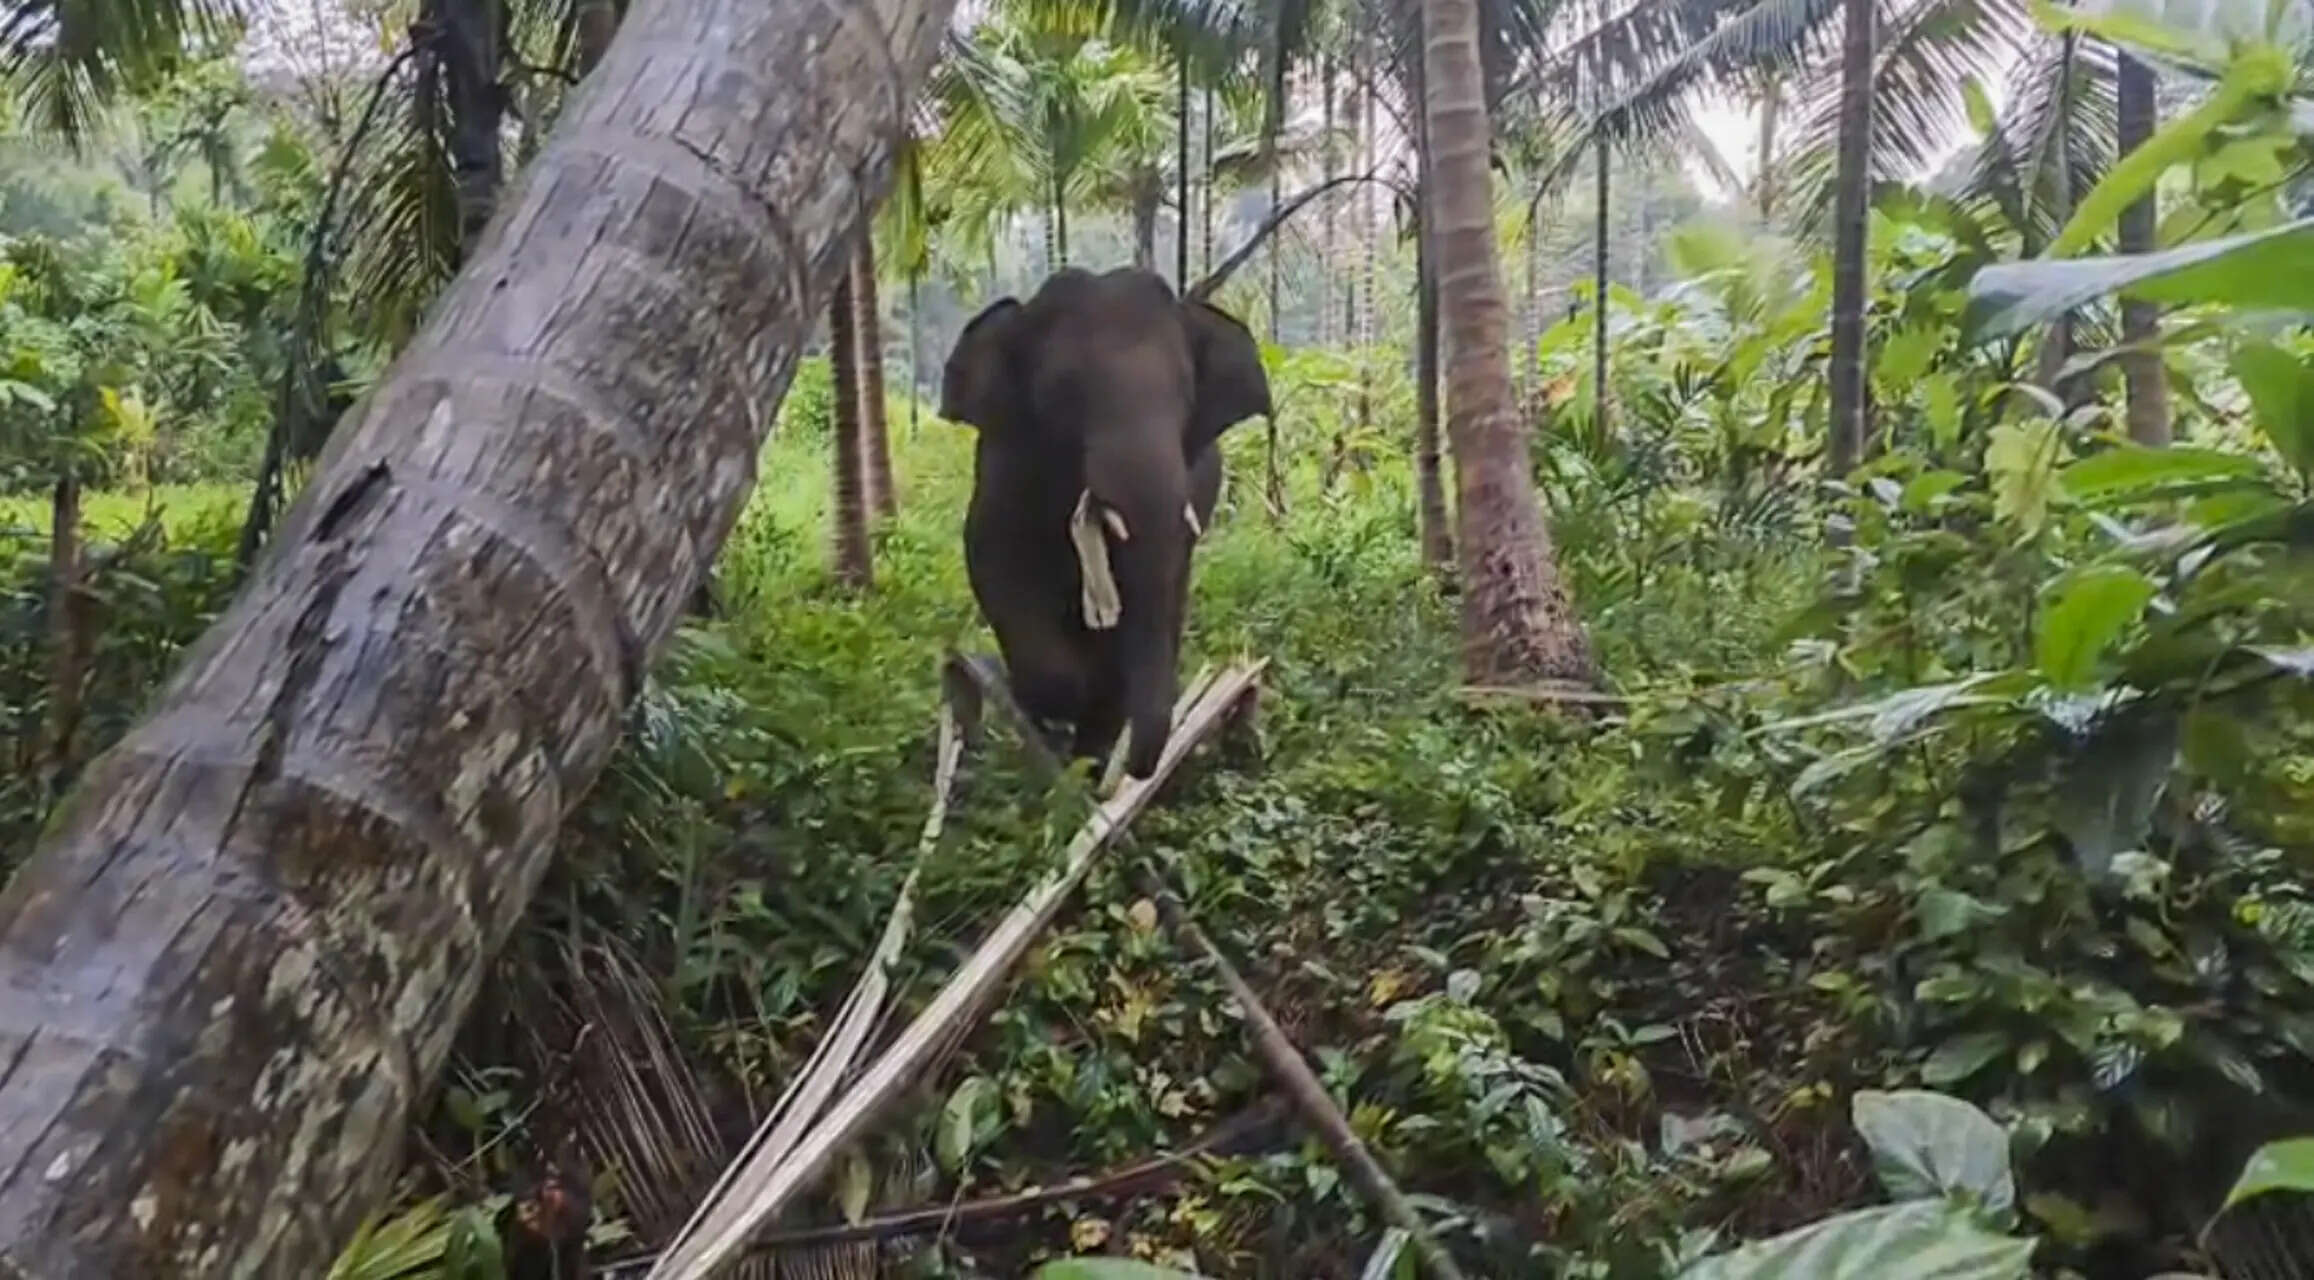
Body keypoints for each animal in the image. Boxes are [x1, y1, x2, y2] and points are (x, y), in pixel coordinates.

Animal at [939, 266, 1272, 781]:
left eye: (1185, 395)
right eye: (1064, 392)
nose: (1138, 771)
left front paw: (1092, 739)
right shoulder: (1004, 466)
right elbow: (994, 561)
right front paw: (1051, 701)